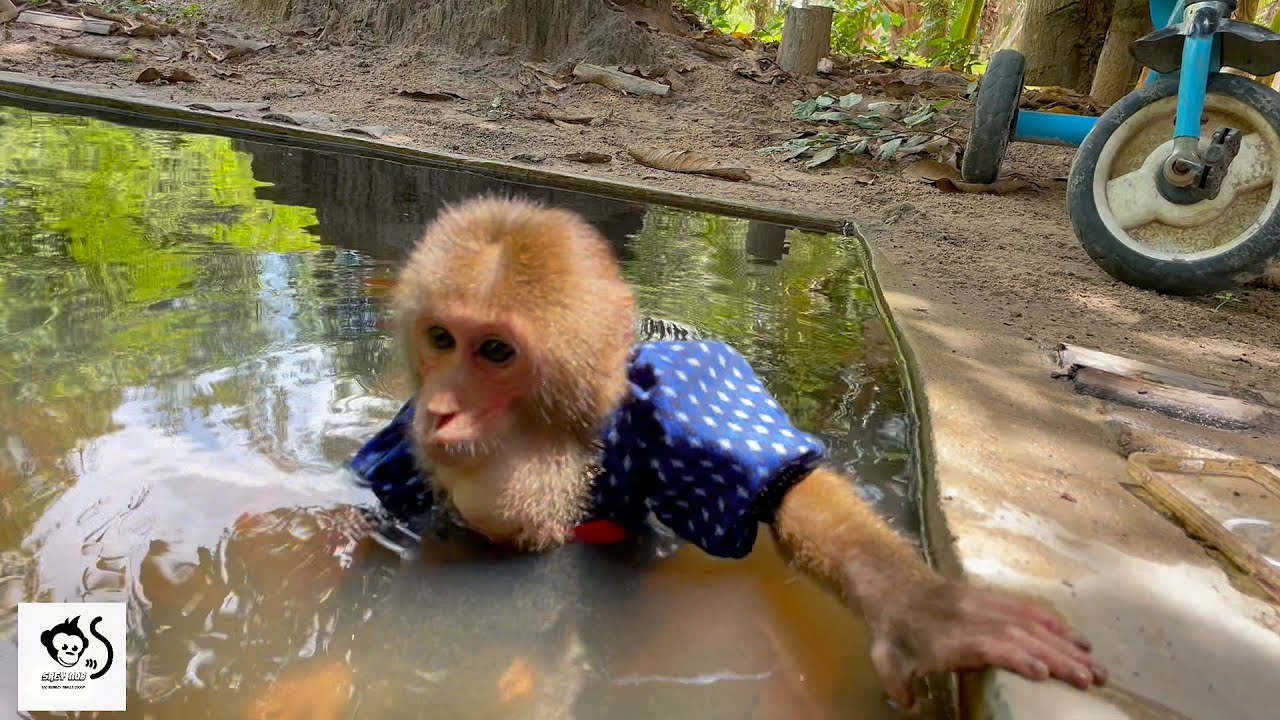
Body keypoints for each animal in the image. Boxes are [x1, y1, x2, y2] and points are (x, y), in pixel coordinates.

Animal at [339, 194, 1108, 712]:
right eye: (442, 339)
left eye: (495, 351)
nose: (441, 408)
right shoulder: (402, 457)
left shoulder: (692, 396)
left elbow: (782, 490)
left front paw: (928, 618)